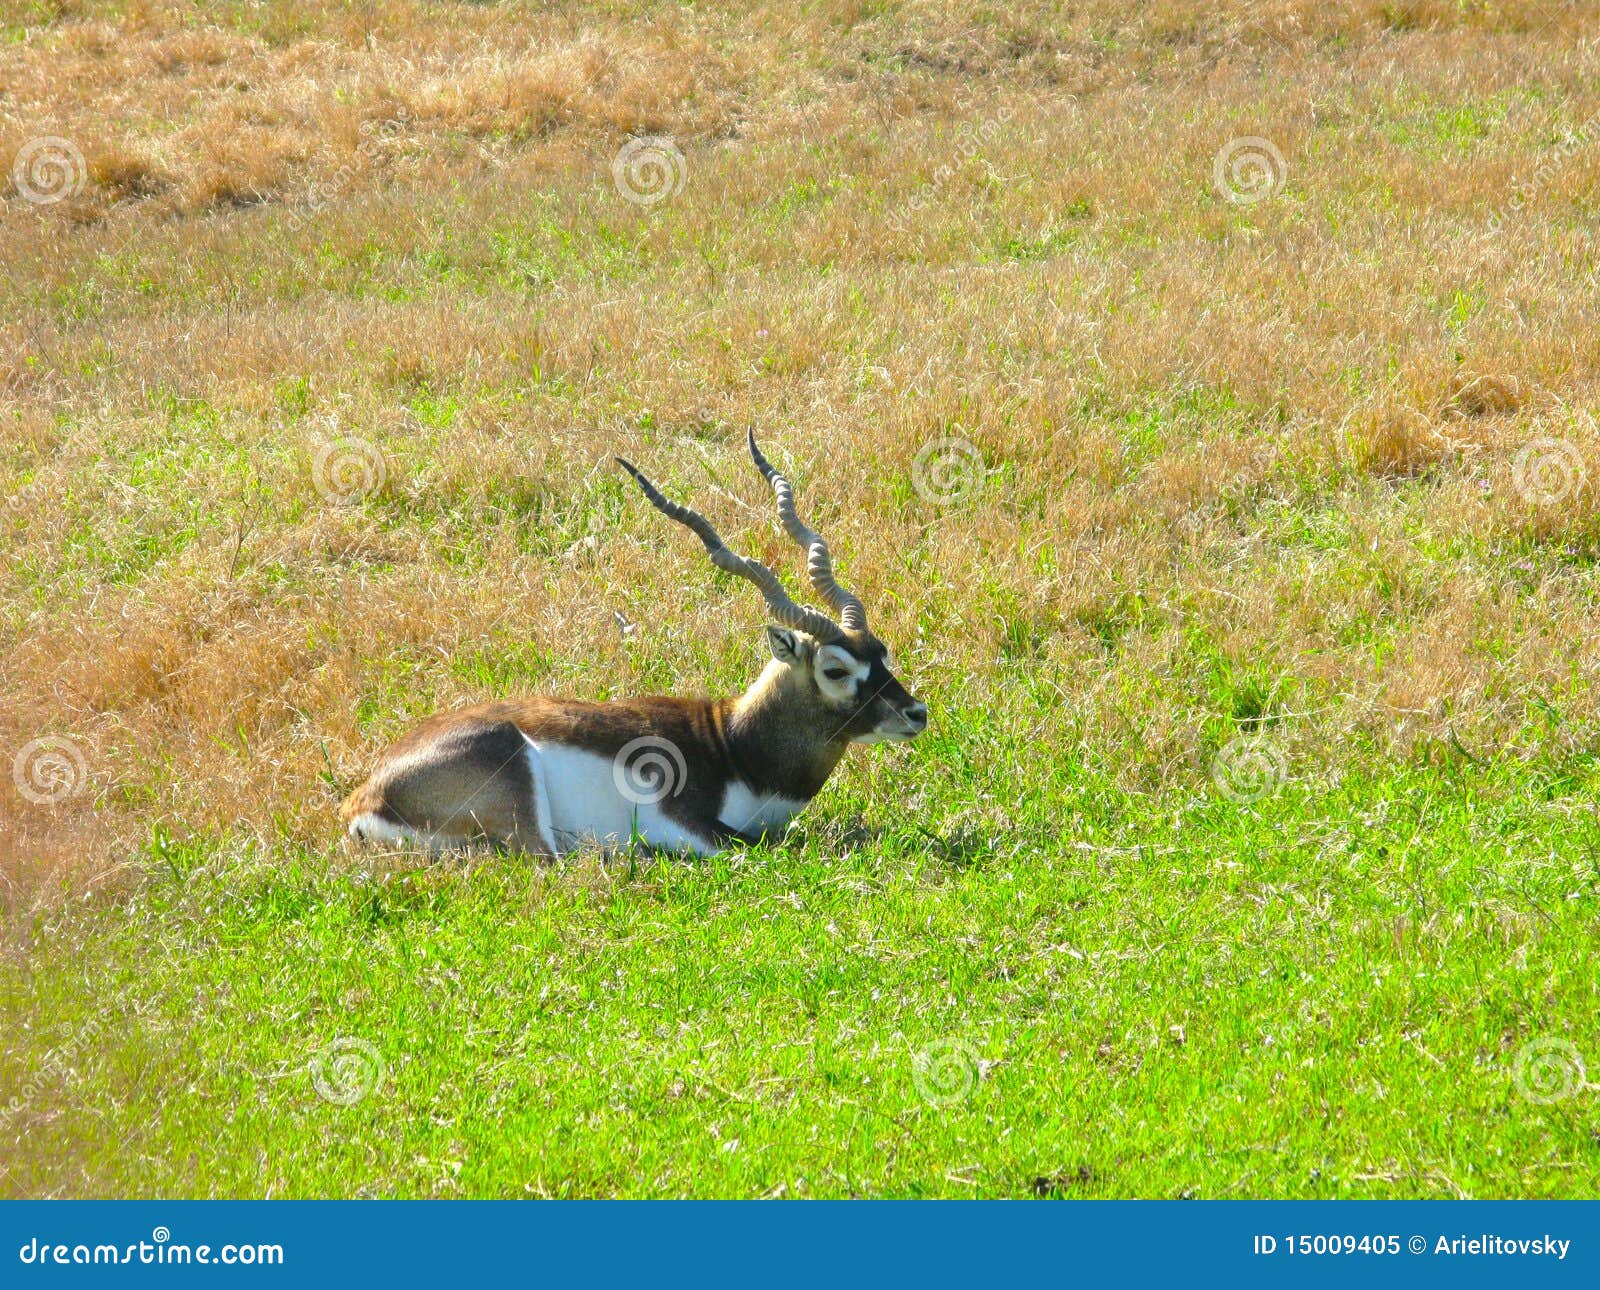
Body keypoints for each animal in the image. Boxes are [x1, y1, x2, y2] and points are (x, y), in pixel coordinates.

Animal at [339, 432, 927, 857]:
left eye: (882, 653)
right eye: (835, 670)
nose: (916, 713)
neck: (733, 745)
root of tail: (362, 799)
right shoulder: (684, 824)